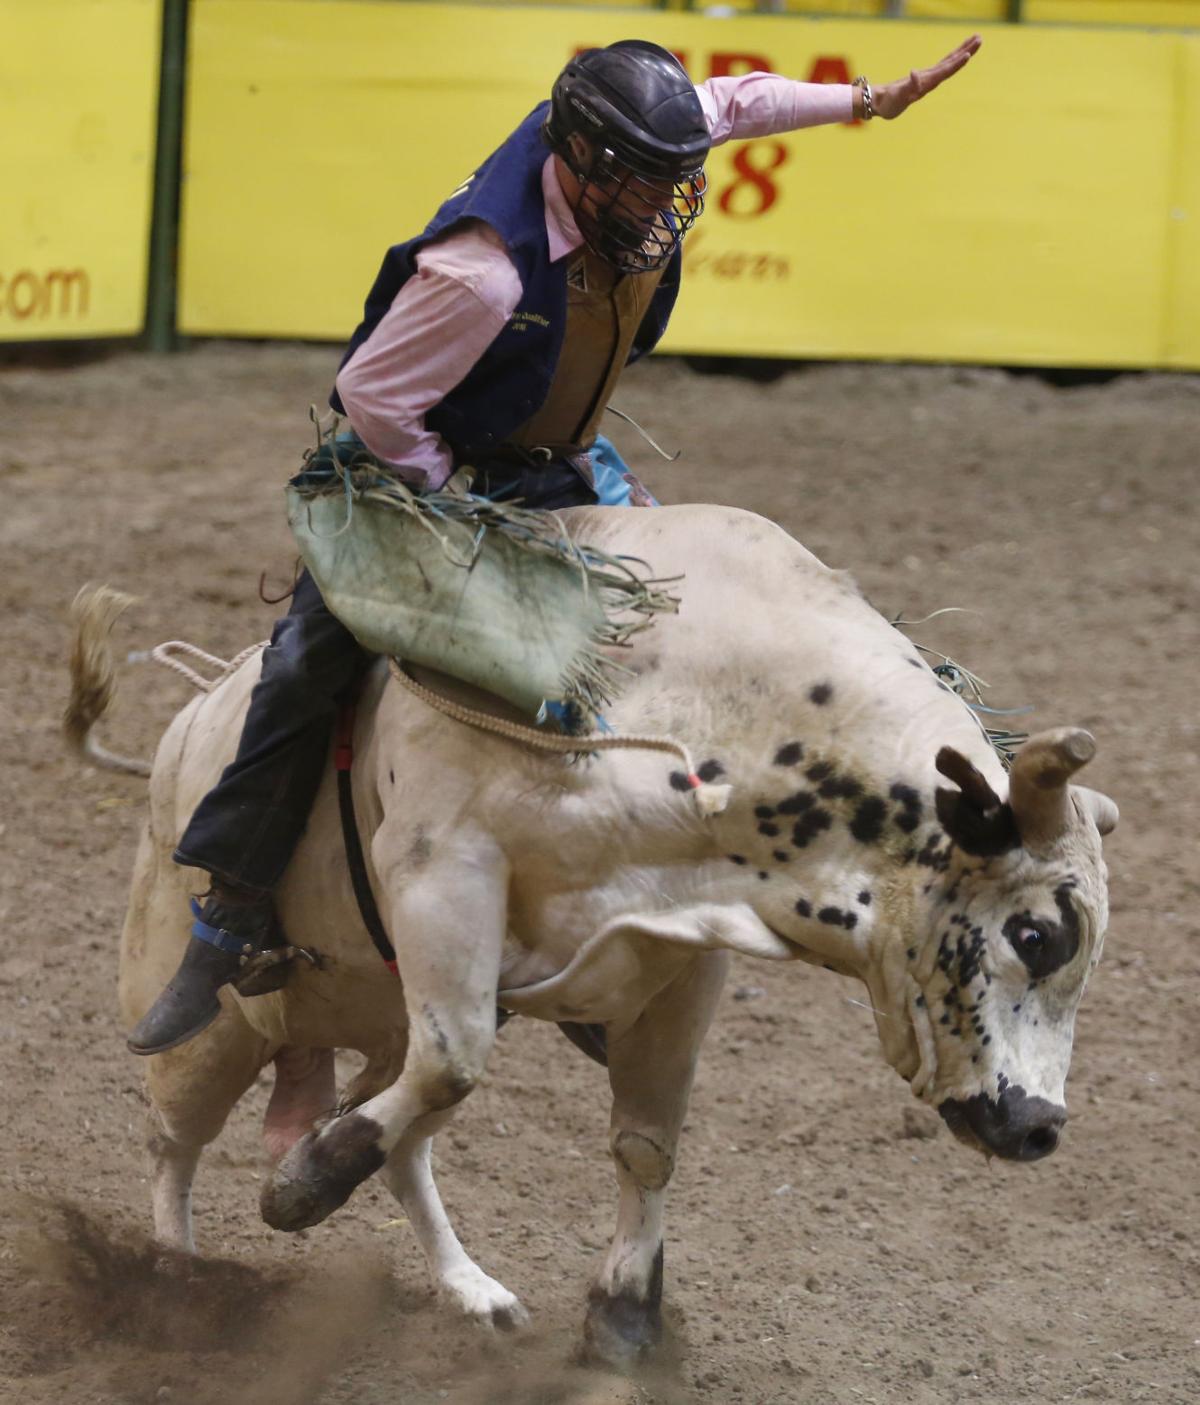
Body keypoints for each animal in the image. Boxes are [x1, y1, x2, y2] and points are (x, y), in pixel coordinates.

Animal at [69, 502, 1117, 1366]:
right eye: (1035, 934)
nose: (1039, 1125)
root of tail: (196, 712)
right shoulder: (443, 872)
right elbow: (454, 1063)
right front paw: (301, 1187)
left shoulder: (685, 956)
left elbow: (644, 1142)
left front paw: (624, 1317)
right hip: (207, 1015)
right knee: (175, 1138)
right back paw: (178, 1289)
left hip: (375, 1014)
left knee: (404, 1147)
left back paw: (472, 1291)